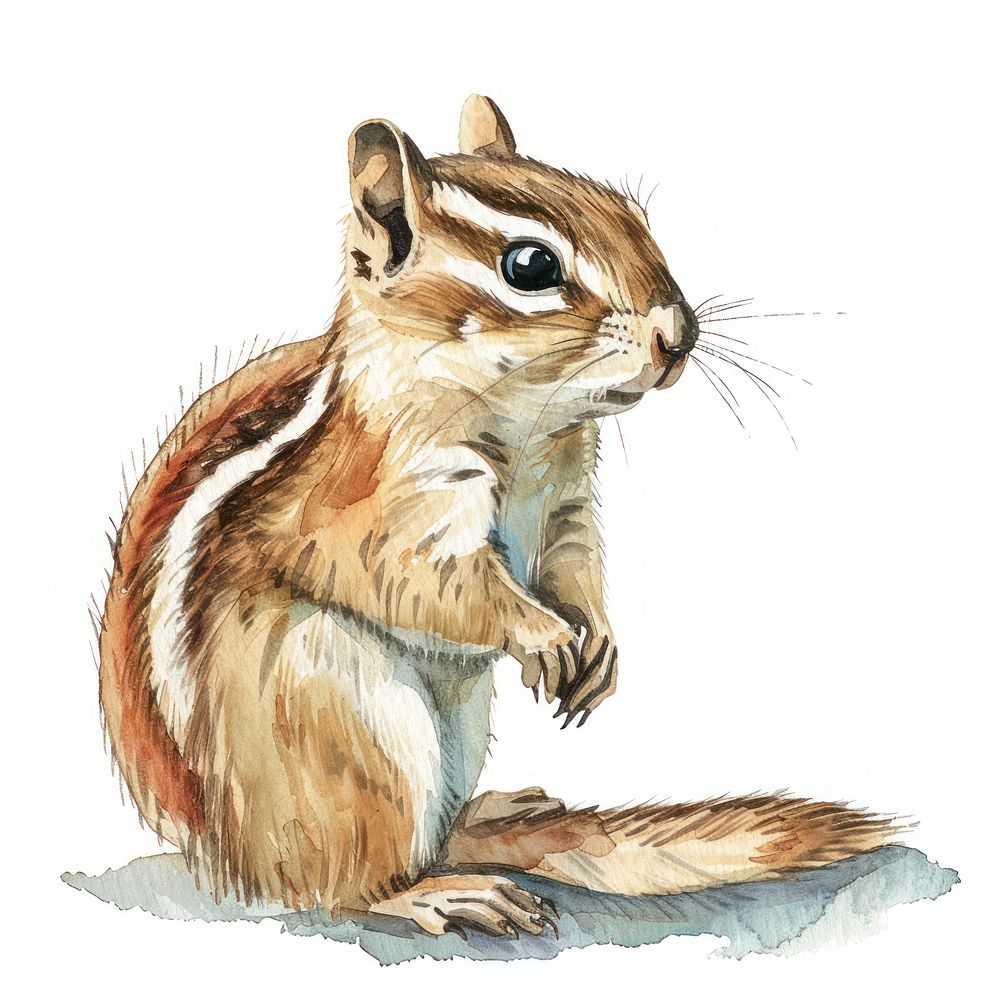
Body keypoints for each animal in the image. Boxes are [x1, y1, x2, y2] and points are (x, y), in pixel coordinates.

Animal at [98, 95, 894, 938]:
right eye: (530, 267)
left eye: (633, 214)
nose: (678, 336)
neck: (527, 426)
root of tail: (224, 854)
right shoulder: (392, 509)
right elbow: (431, 582)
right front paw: (543, 634)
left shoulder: (569, 497)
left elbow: (575, 561)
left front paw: (599, 640)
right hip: (343, 725)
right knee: (337, 884)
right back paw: (435, 891)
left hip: (458, 723)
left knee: (431, 834)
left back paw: (490, 817)